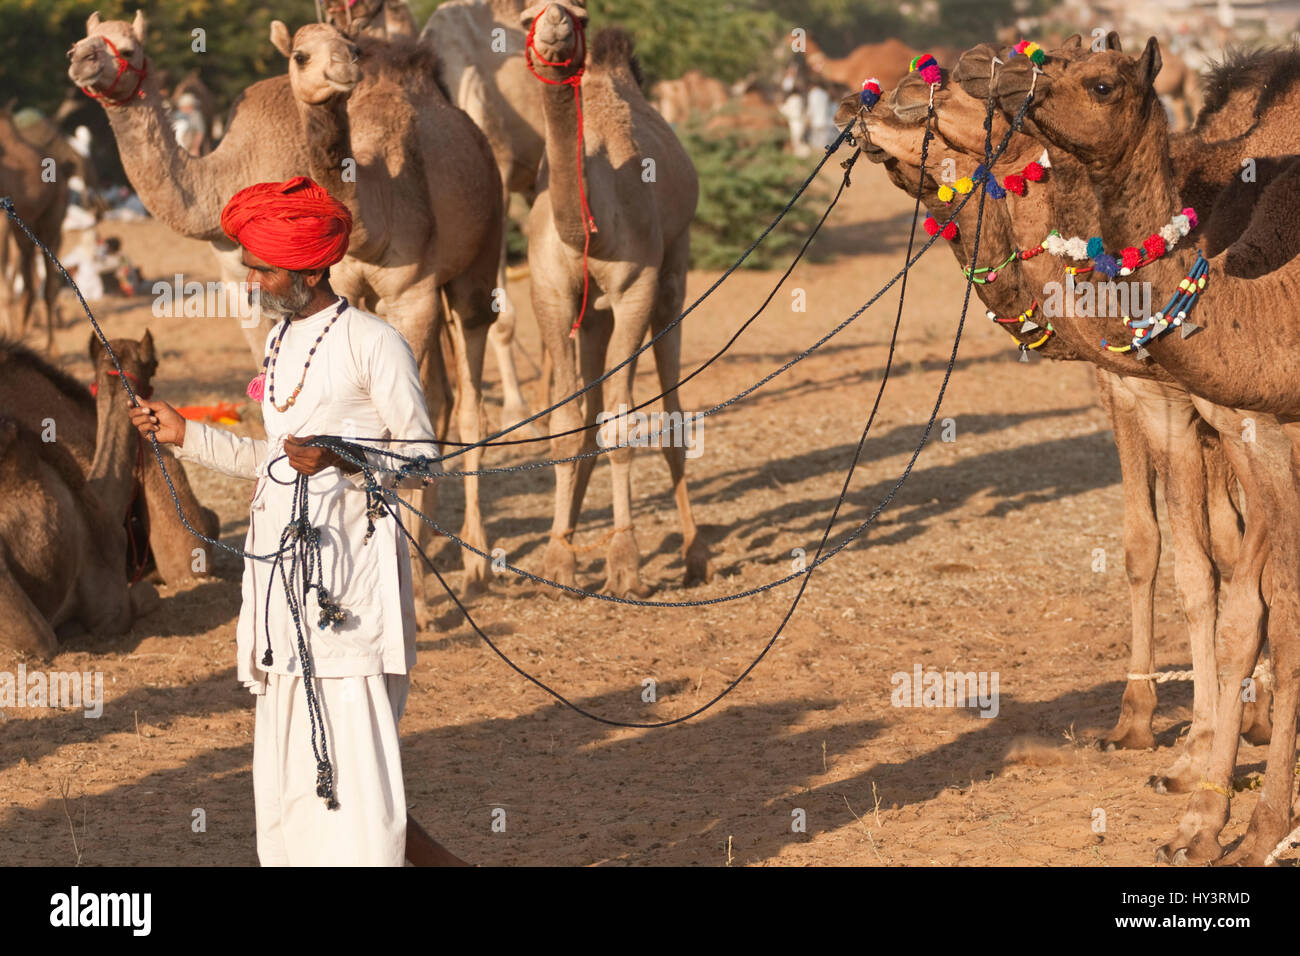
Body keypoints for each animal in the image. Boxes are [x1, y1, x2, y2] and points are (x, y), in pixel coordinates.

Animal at [270, 20, 503, 594]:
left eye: (352, 47)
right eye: (301, 54)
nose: (343, 67)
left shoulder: (412, 293)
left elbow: (402, 427)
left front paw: (415, 578)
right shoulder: (353, 290)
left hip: (476, 263)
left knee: (469, 399)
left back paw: (475, 560)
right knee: (440, 395)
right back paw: (436, 537)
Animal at [519, 2, 710, 596]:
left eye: (577, 14)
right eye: (527, 16)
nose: (554, 25)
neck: (591, 229)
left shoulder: (635, 288)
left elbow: (624, 426)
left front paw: (625, 564)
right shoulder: (550, 294)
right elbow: (565, 424)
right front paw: (557, 559)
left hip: (672, 273)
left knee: (671, 412)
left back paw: (695, 555)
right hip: (593, 319)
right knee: (589, 408)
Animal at [989, 37, 1300, 866]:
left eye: (1101, 82)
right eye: (1051, 63)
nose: (1016, 87)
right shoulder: (1263, 437)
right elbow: (1265, 607)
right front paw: (1211, 824)